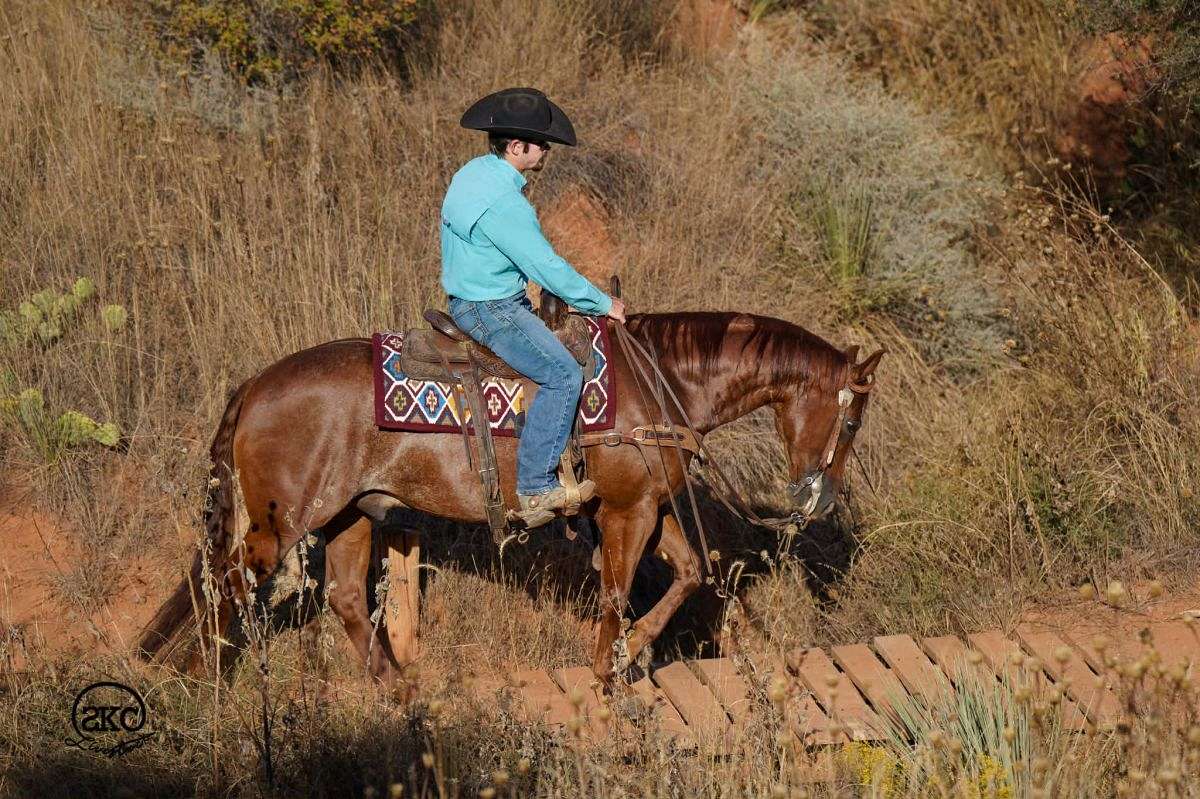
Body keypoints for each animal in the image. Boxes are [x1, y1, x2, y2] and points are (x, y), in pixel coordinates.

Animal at [138, 310, 882, 688]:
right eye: (851, 422)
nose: (819, 500)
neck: (662, 380)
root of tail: (255, 385)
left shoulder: (650, 506)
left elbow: (691, 572)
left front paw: (631, 653)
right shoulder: (627, 512)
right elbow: (617, 593)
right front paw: (607, 671)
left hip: (351, 511)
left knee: (345, 598)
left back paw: (399, 692)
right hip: (283, 521)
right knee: (226, 582)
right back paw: (202, 682)